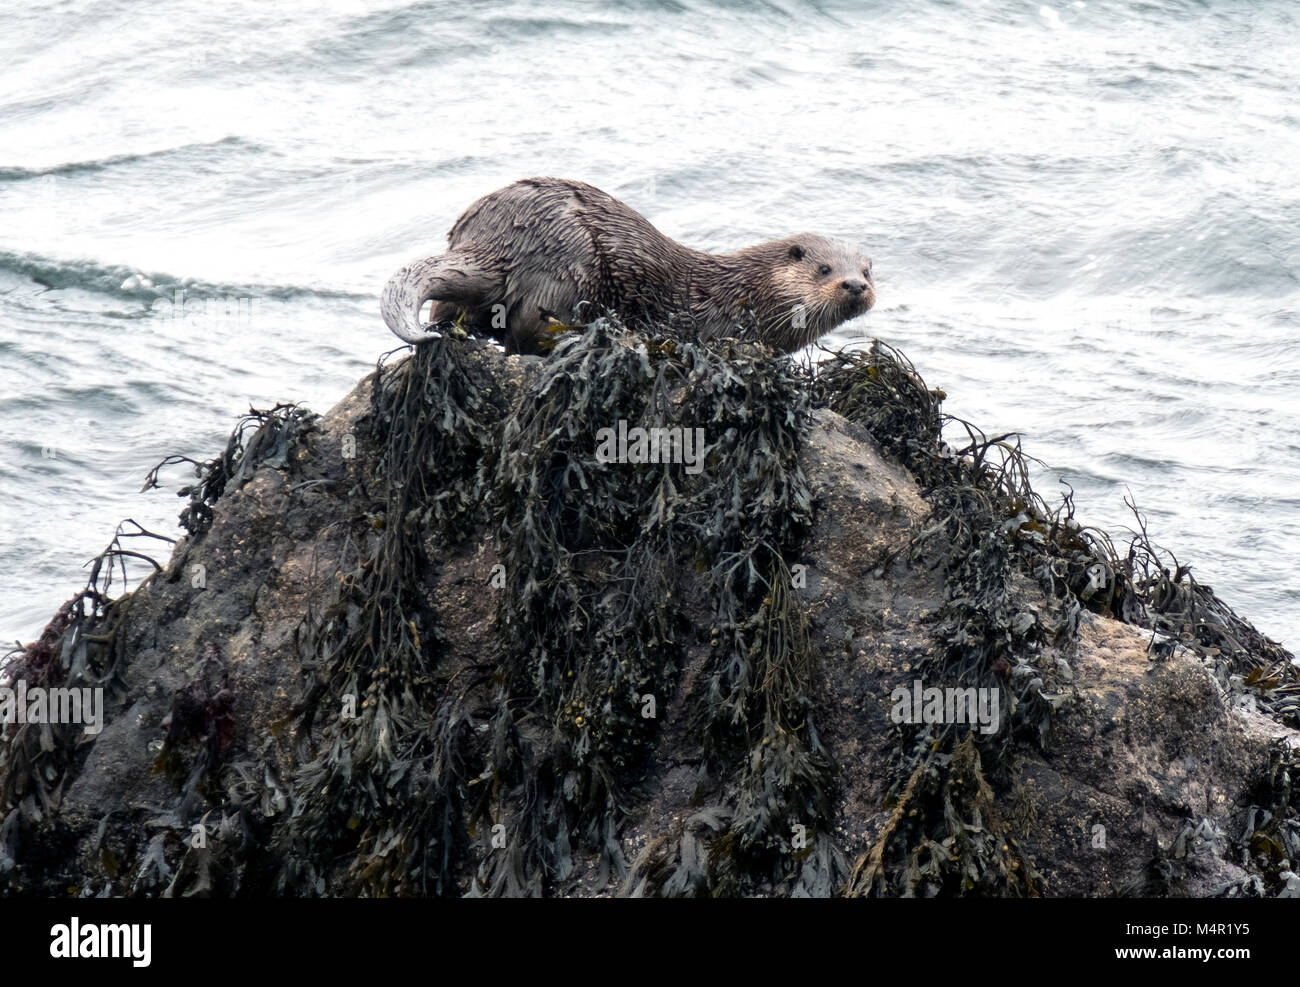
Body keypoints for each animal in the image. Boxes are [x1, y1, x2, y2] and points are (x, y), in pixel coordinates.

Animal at [380, 177, 875, 355]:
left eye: (867, 271)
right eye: (825, 270)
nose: (854, 286)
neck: (748, 294)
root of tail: (499, 233)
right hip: (568, 264)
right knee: (528, 329)